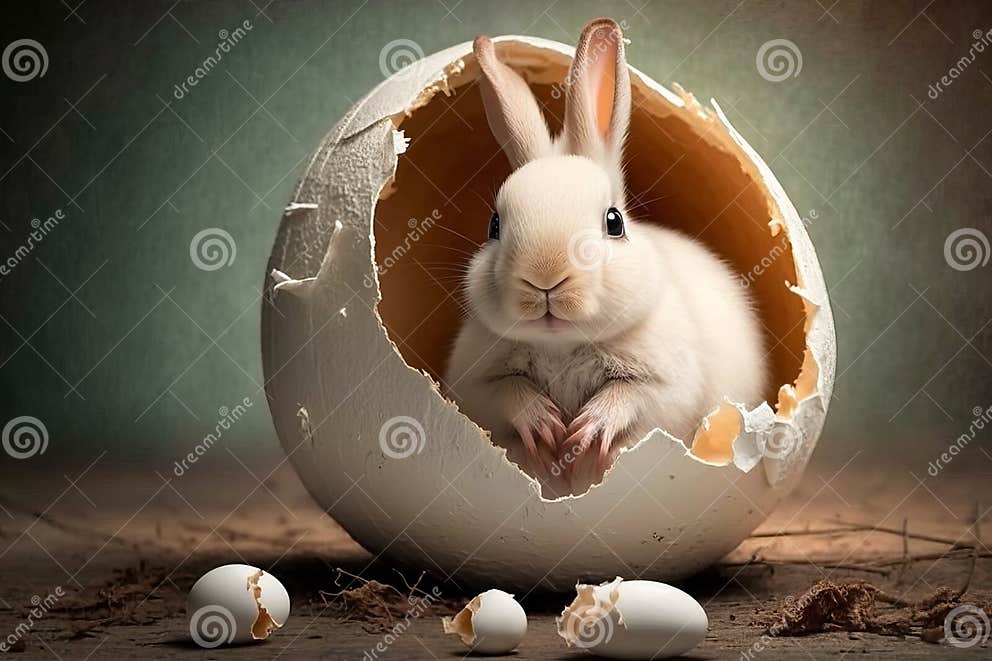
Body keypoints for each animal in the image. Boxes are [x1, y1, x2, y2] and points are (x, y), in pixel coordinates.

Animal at [444, 18, 767, 495]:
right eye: (494, 225)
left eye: (614, 223)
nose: (545, 280)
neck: (562, 346)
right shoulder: (474, 385)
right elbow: (507, 393)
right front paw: (543, 427)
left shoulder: (666, 383)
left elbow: (630, 397)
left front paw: (588, 434)